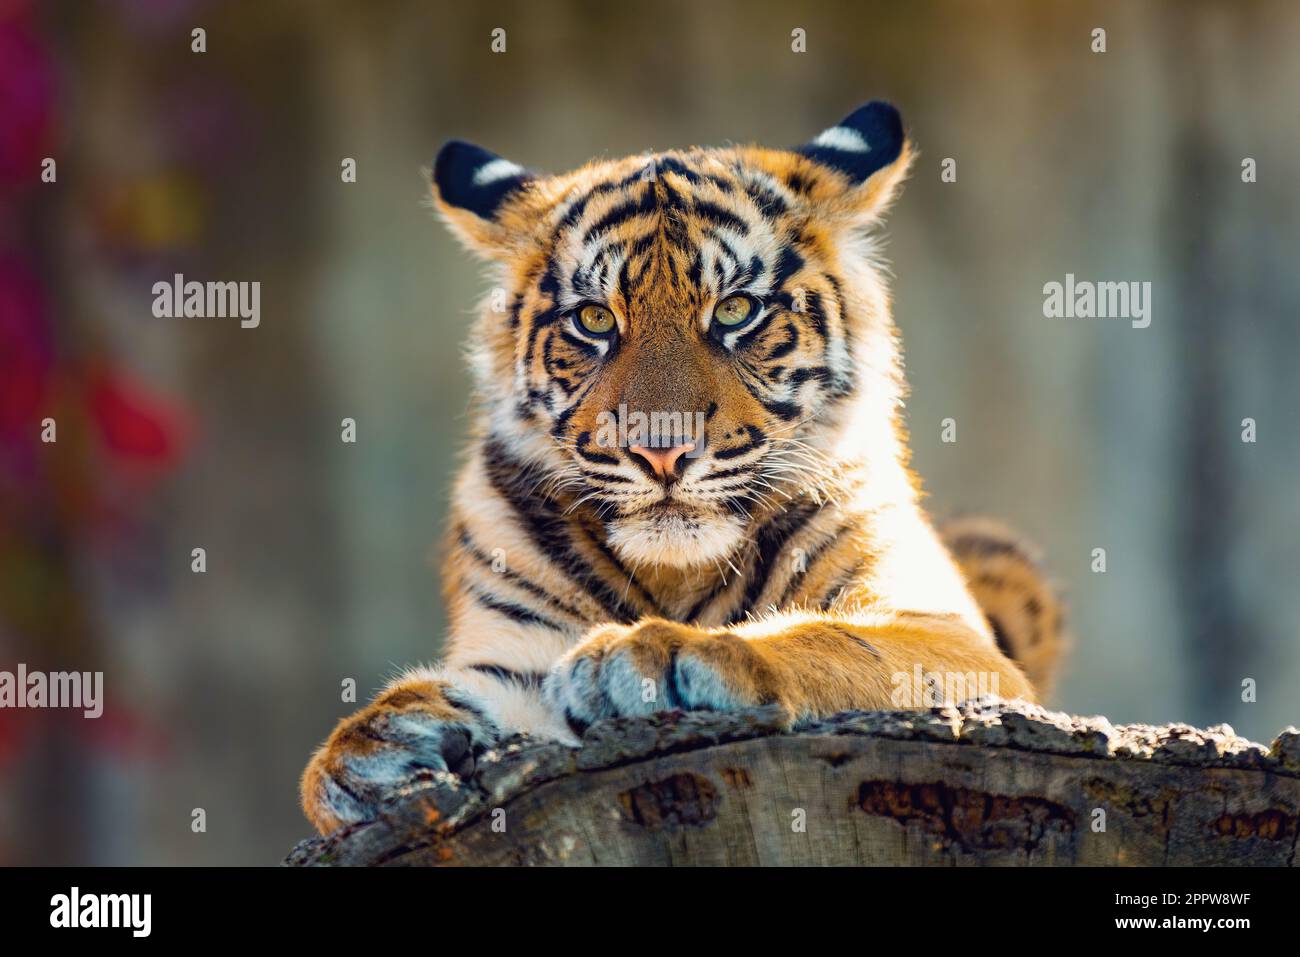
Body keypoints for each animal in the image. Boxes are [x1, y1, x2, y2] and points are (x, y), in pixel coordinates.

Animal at [300, 100, 1065, 835]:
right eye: (595, 320)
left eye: (735, 310)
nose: (660, 448)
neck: (676, 570)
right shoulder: (514, 645)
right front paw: (366, 748)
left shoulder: (944, 631)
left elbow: (835, 641)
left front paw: (656, 656)